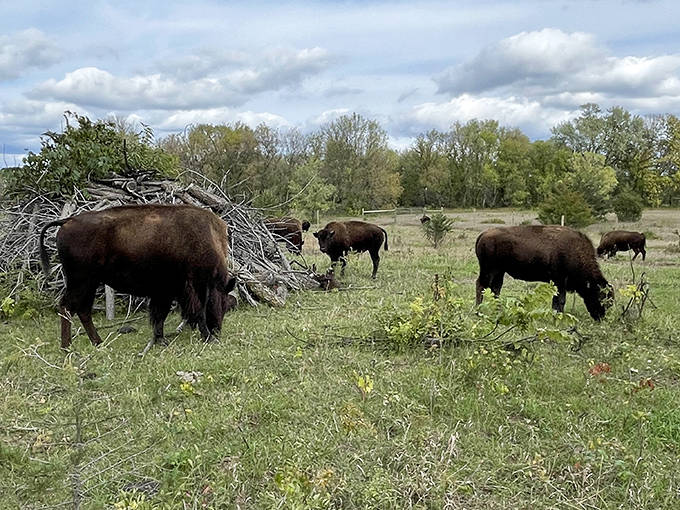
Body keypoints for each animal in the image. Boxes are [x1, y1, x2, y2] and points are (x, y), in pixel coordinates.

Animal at [39, 204, 236, 351]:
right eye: (224, 303)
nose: (217, 330)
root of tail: (67, 220)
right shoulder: (195, 285)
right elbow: (198, 311)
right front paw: (207, 337)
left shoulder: (165, 291)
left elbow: (159, 316)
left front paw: (160, 340)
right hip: (80, 281)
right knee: (67, 307)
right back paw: (67, 348)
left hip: (90, 283)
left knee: (83, 310)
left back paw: (98, 343)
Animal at [475, 225, 613, 320]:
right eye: (601, 297)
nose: (601, 317)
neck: (575, 251)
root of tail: (483, 234)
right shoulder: (560, 281)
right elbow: (561, 300)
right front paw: (559, 316)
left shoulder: (558, 282)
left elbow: (556, 300)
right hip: (489, 270)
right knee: (481, 285)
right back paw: (478, 312)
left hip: (500, 272)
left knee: (496, 289)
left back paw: (498, 311)